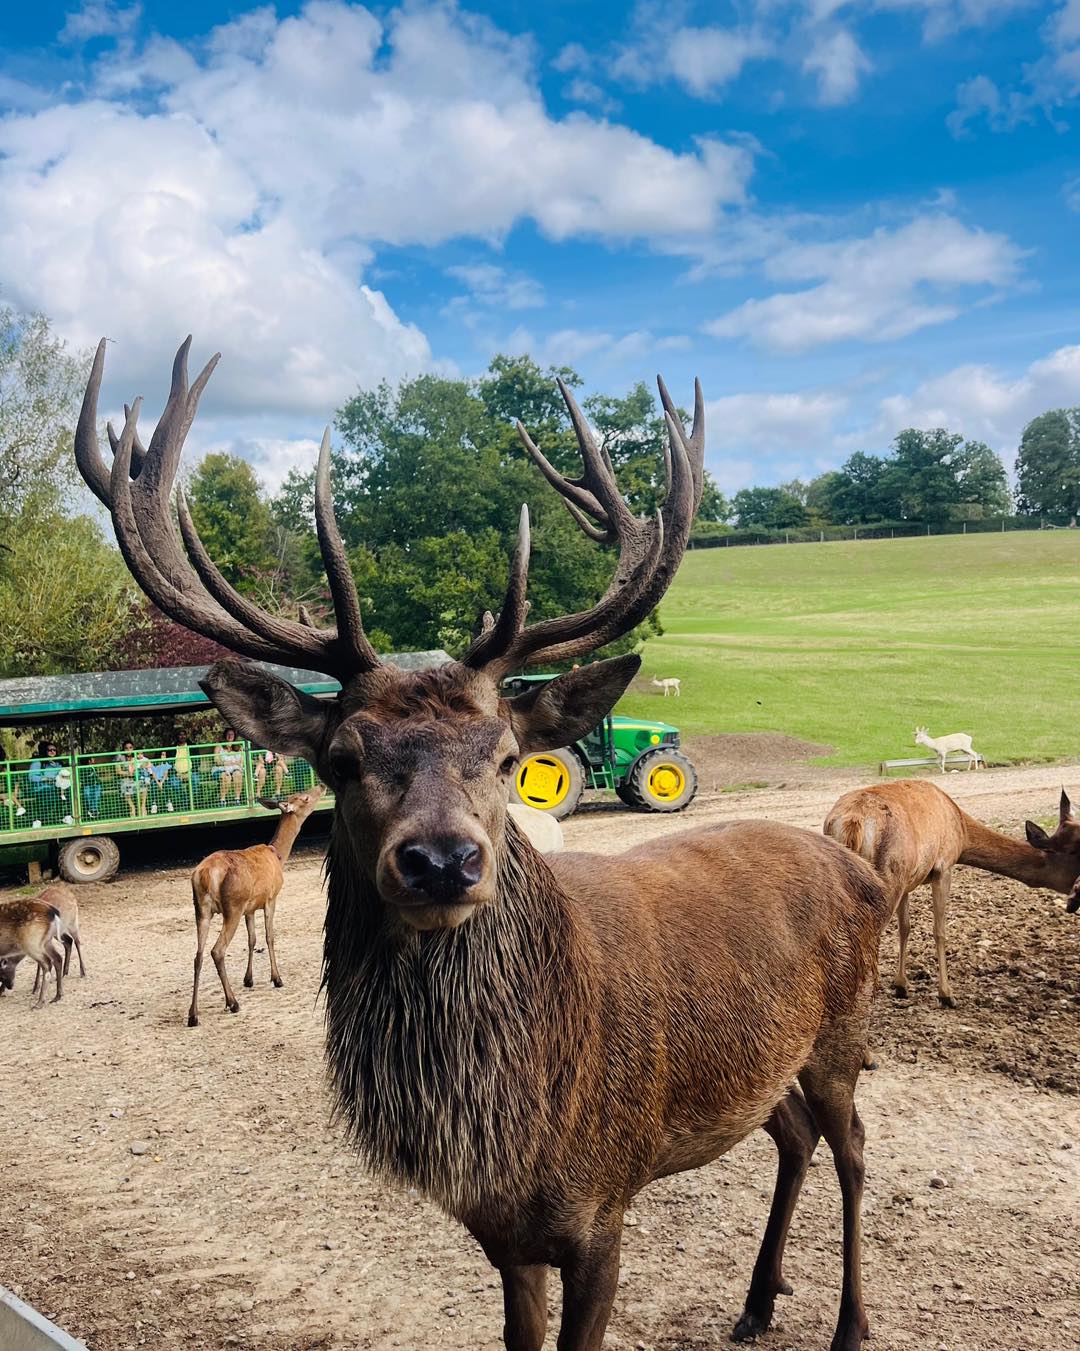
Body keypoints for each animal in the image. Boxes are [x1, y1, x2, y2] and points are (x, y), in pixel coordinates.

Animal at [187, 786, 325, 1027]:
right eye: (305, 797)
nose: (322, 787)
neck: (279, 857)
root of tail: (204, 874)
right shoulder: (271, 898)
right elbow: (270, 936)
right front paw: (277, 978)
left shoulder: (249, 908)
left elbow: (252, 939)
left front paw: (248, 979)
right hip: (232, 906)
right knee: (217, 950)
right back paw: (233, 1003)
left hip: (201, 910)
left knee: (198, 955)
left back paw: (193, 1015)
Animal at [825, 780, 1080, 1010]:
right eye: (1075, 852)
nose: (1074, 900)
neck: (962, 832)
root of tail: (852, 823)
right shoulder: (943, 866)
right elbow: (939, 931)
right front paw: (946, 995)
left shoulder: (909, 880)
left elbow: (905, 927)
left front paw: (901, 986)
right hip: (886, 878)